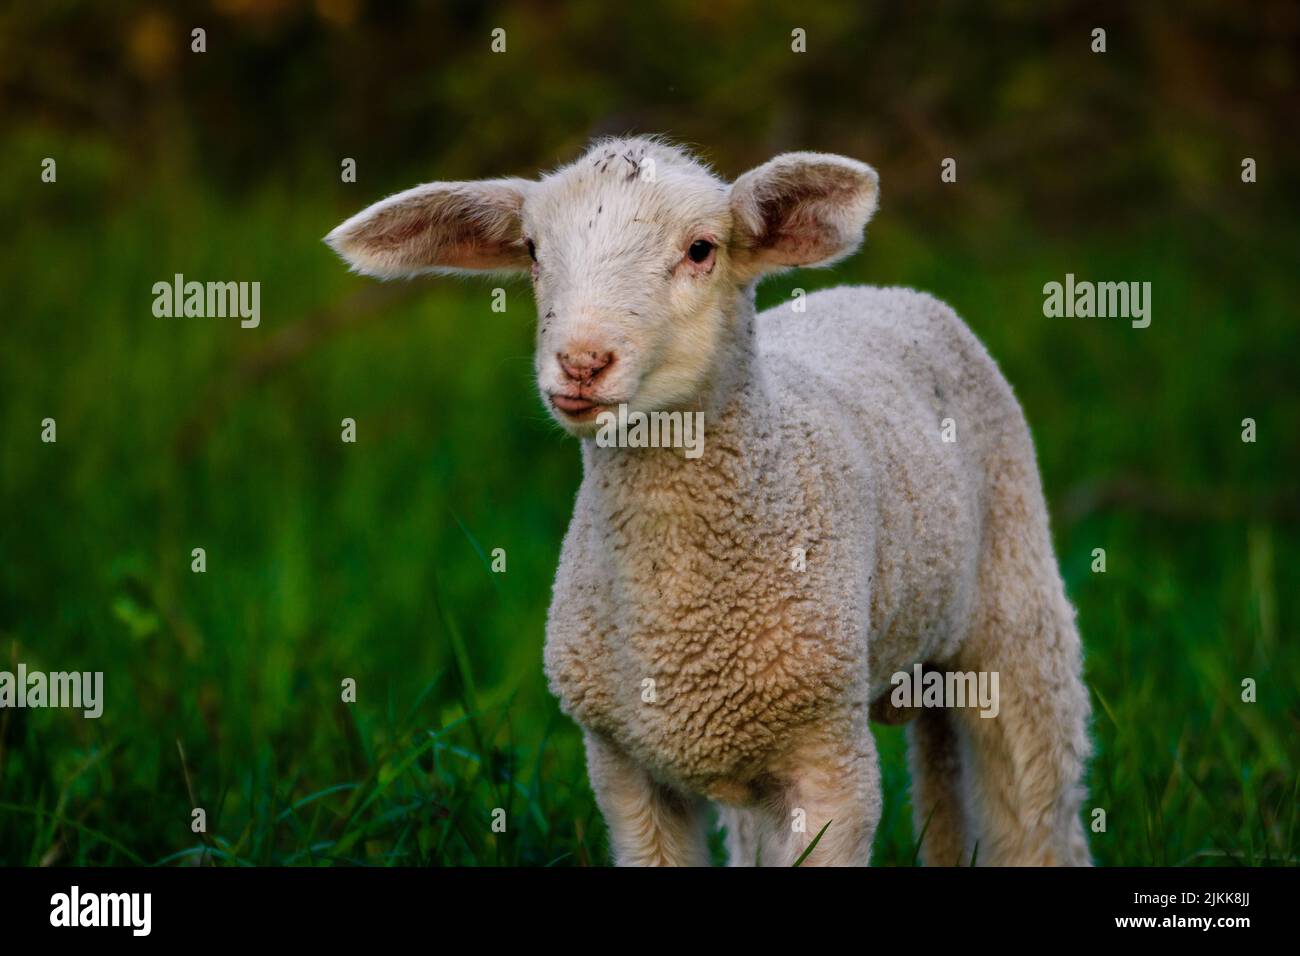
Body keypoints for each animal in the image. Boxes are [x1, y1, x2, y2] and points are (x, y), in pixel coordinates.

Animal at [326, 136, 1093, 867]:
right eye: (535, 252)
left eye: (701, 250)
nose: (581, 362)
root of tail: (881, 289)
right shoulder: (624, 765)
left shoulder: (829, 763)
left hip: (1017, 605)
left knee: (1036, 804)